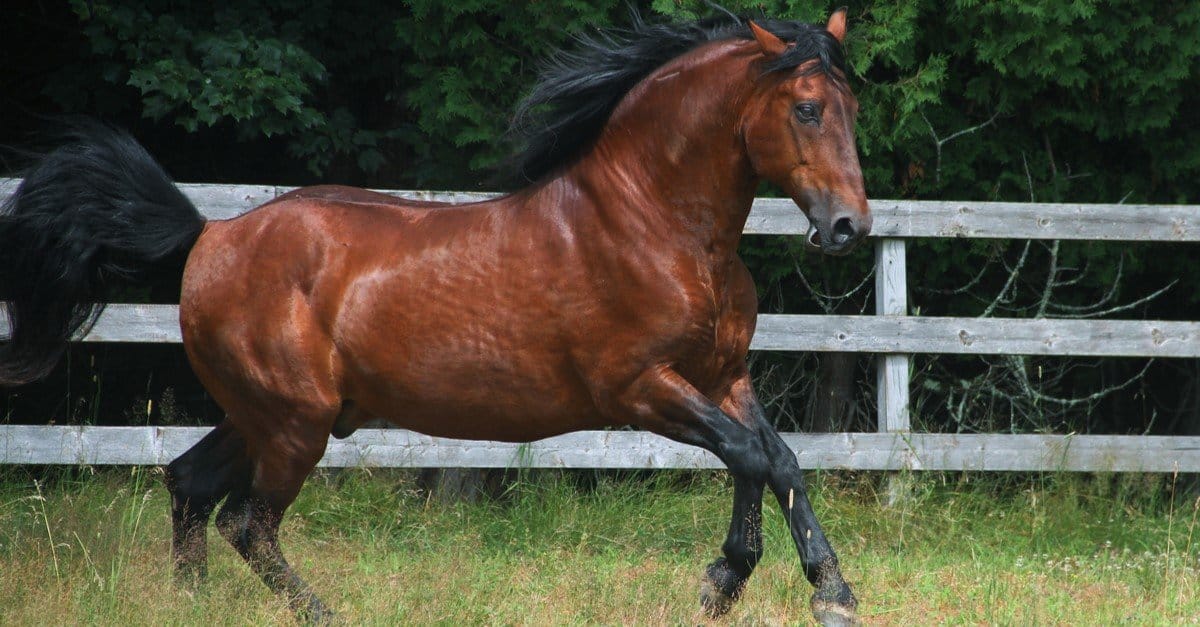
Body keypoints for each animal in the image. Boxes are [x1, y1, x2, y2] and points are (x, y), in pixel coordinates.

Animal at [0, 11, 870, 625]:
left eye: (851, 107)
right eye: (806, 109)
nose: (848, 227)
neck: (655, 222)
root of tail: (209, 235)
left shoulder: (722, 377)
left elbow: (780, 460)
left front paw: (825, 588)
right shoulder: (638, 388)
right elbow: (749, 457)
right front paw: (727, 580)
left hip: (264, 413)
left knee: (189, 484)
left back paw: (192, 605)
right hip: (293, 422)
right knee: (247, 523)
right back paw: (325, 613)